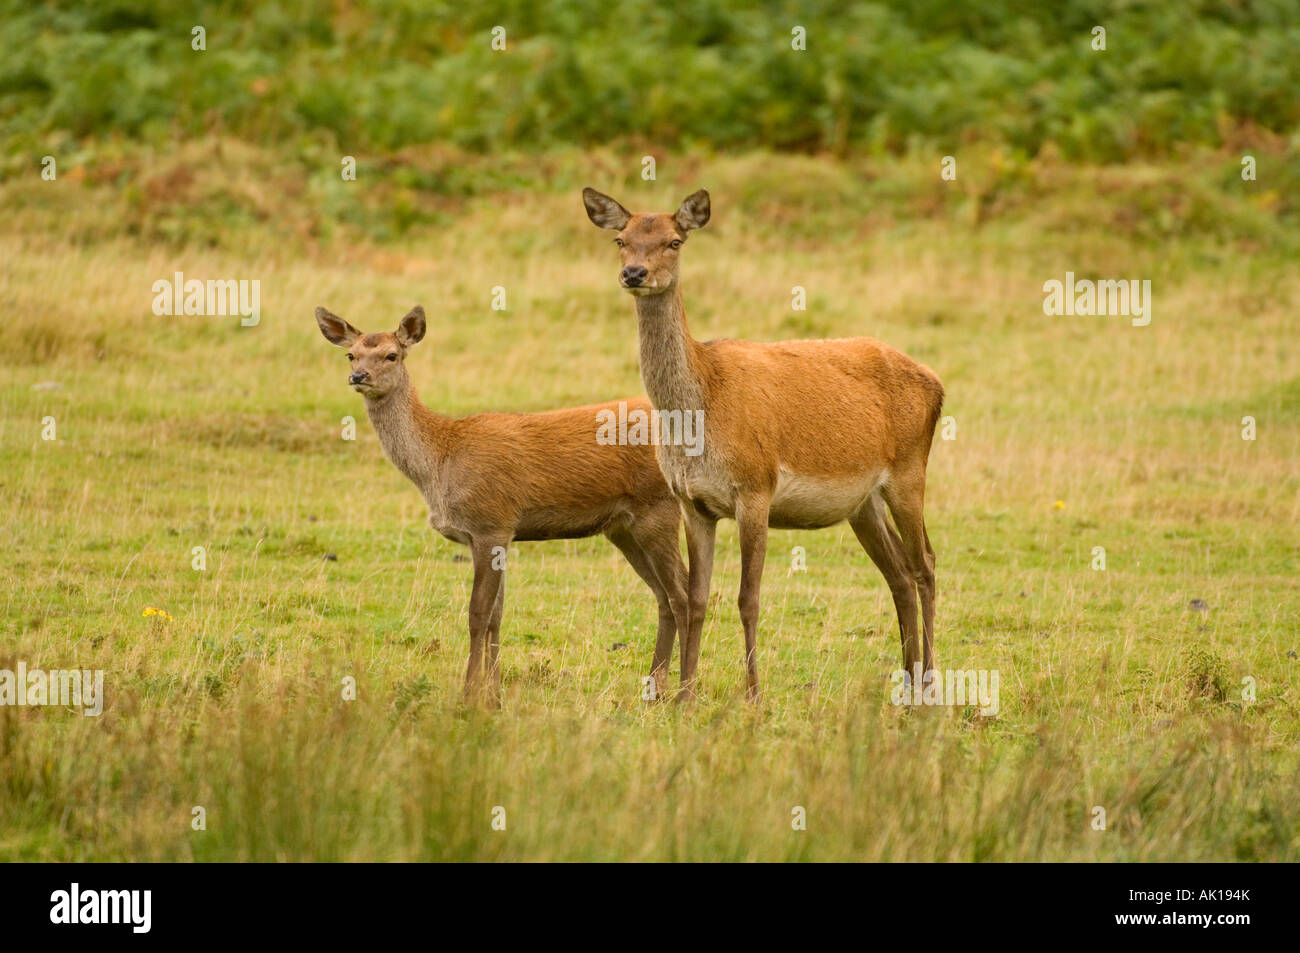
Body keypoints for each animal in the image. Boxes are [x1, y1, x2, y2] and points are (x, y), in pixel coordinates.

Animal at [314, 305, 688, 707]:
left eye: (391, 355)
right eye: (351, 354)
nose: (358, 376)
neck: (441, 460)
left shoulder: (489, 522)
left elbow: (477, 613)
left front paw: (467, 695)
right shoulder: (500, 533)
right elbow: (497, 614)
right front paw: (493, 696)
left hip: (658, 507)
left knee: (683, 592)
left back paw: (679, 692)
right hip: (622, 527)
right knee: (663, 596)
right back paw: (654, 689)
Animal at [583, 187, 945, 703]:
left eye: (674, 241)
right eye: (621, 239)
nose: (634, 273)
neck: (701, 407)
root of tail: (937, 384)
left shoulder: (755, 488)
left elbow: (747, 598)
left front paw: (753, 694)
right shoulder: (692, 502)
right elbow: (697, 598)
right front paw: (685, 695)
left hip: (910, 473)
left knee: (925, 565)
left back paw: (929, 686)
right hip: (863, 503)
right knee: (897, 574)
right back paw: (908, 680)